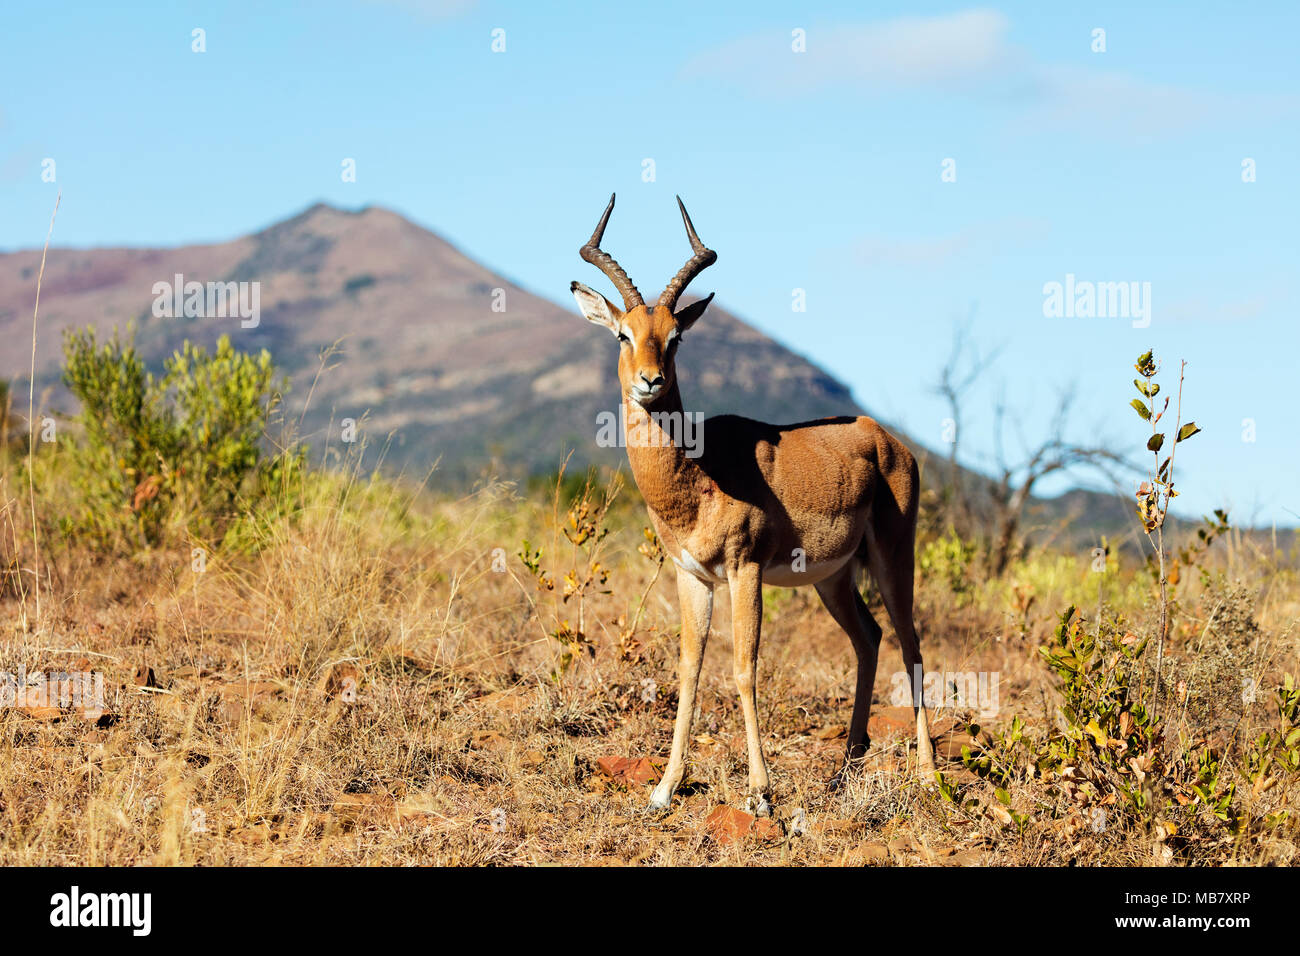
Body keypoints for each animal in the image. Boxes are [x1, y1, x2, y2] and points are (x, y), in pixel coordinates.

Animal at [571, 195, 936, 815]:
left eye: (675, 336)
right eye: (622, 334)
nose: (650, 381)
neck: (700, 475)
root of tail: (888, 439)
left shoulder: (744, 570)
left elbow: (744, 669)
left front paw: (761, 793)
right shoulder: (691, 575)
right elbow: (689, 669)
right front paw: (665, 789)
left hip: (893, 559)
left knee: (911, 647)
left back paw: (933, 779)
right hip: (833, 578)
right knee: (869, 639)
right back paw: (845, 769)